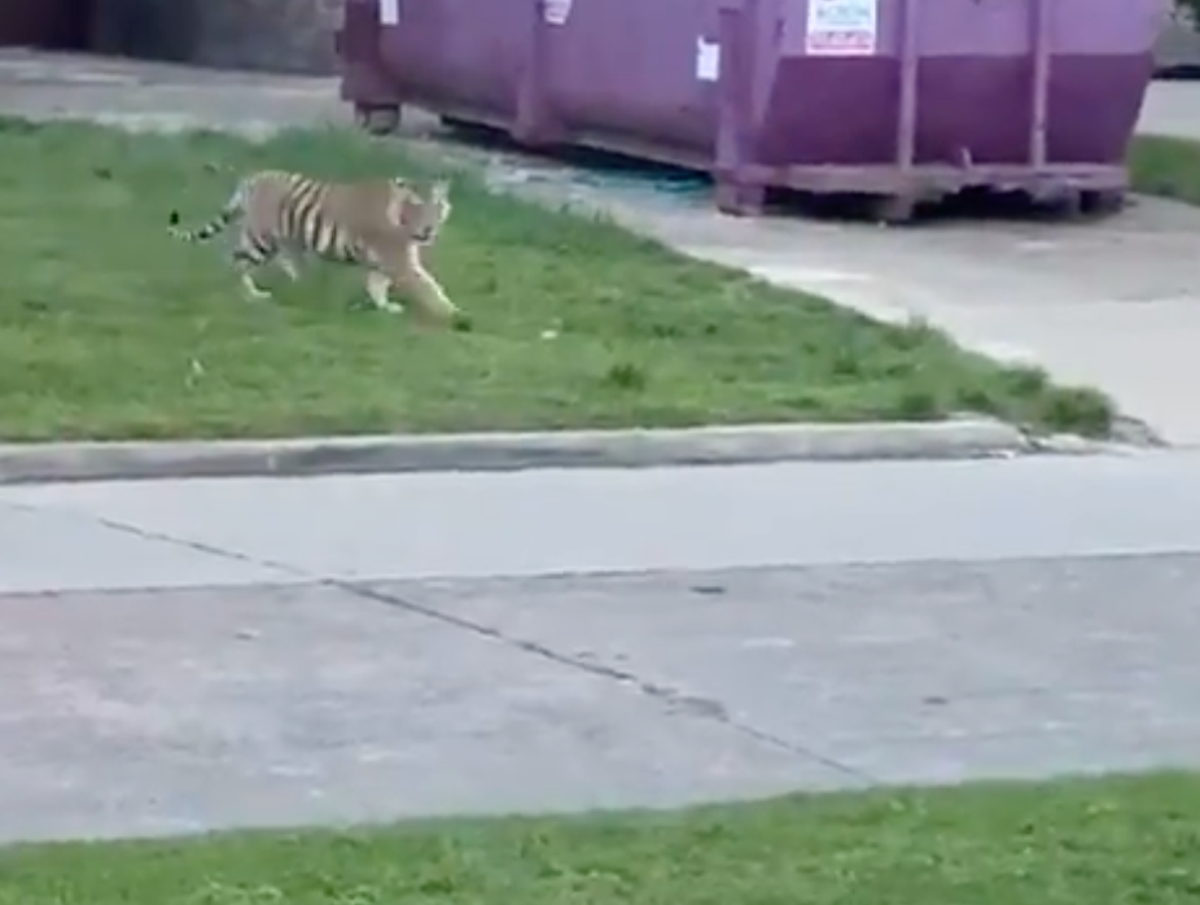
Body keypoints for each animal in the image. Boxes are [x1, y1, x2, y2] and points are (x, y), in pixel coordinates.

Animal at [167, 169, 467, 328]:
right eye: (415, 207)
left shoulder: (388, 263)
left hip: (285, 238)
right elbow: (430, 288)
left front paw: (386, 308)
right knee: (235, 261)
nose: (428, 229)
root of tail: (252, 178)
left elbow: (377, 286)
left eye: (436, 207)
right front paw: (457, 316)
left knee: (283, 259)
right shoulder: (400, 263)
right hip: (260, 240)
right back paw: (252, 294)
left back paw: (300, 281)